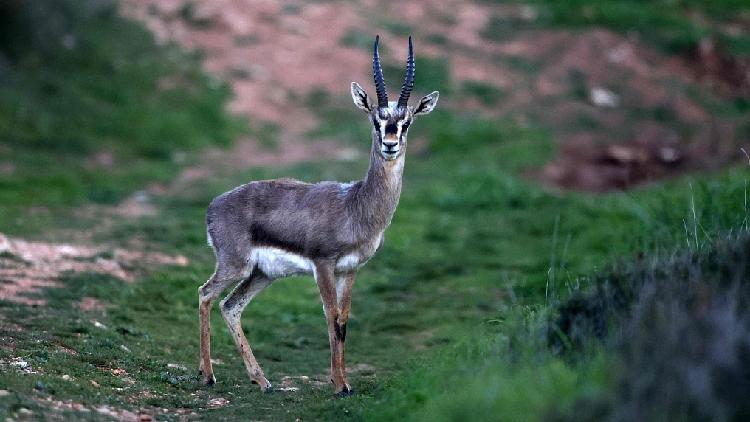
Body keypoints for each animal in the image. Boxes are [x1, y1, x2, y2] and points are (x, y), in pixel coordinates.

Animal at [198, 35, 439, 396]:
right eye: (376, 120)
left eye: (406, 122)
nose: (390, 144)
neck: (355, 205)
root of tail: (214, 206)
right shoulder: (323, 265)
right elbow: (330, 317)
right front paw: (339, 385)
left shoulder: (350, 270)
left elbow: (343, 321)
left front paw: (345, 382)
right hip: (235, 266)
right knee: (206, 295)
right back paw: (208, 375)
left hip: (262, 274)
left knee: (230, 306)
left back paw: (261, 380)